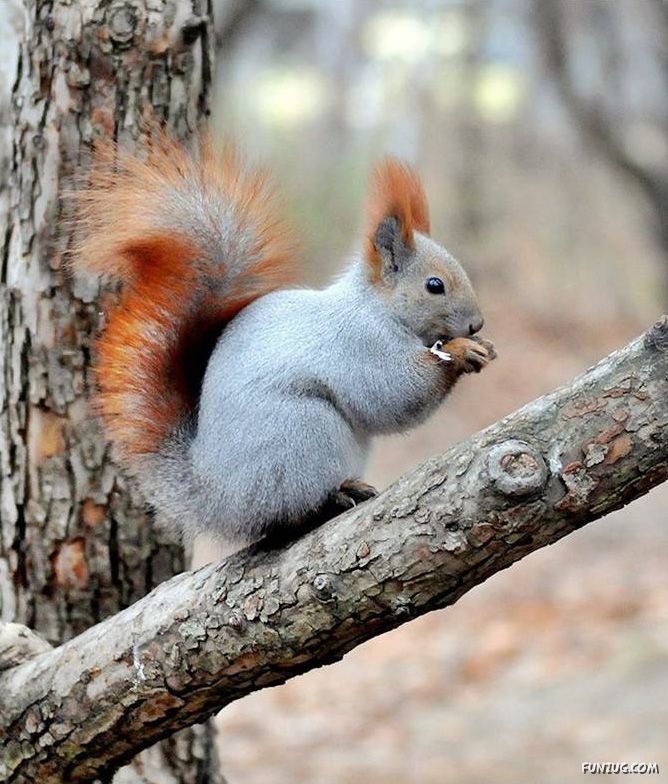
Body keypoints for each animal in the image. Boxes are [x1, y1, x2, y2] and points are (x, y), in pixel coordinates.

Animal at [73, 132, 496, 552]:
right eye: (434, 285)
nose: (477, 323)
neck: (377, 307)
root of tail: (214, 499)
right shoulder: (359, 345)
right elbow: (395, 393)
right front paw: (461, 352)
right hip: (302, 436)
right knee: (284, 516)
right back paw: (332, 499)